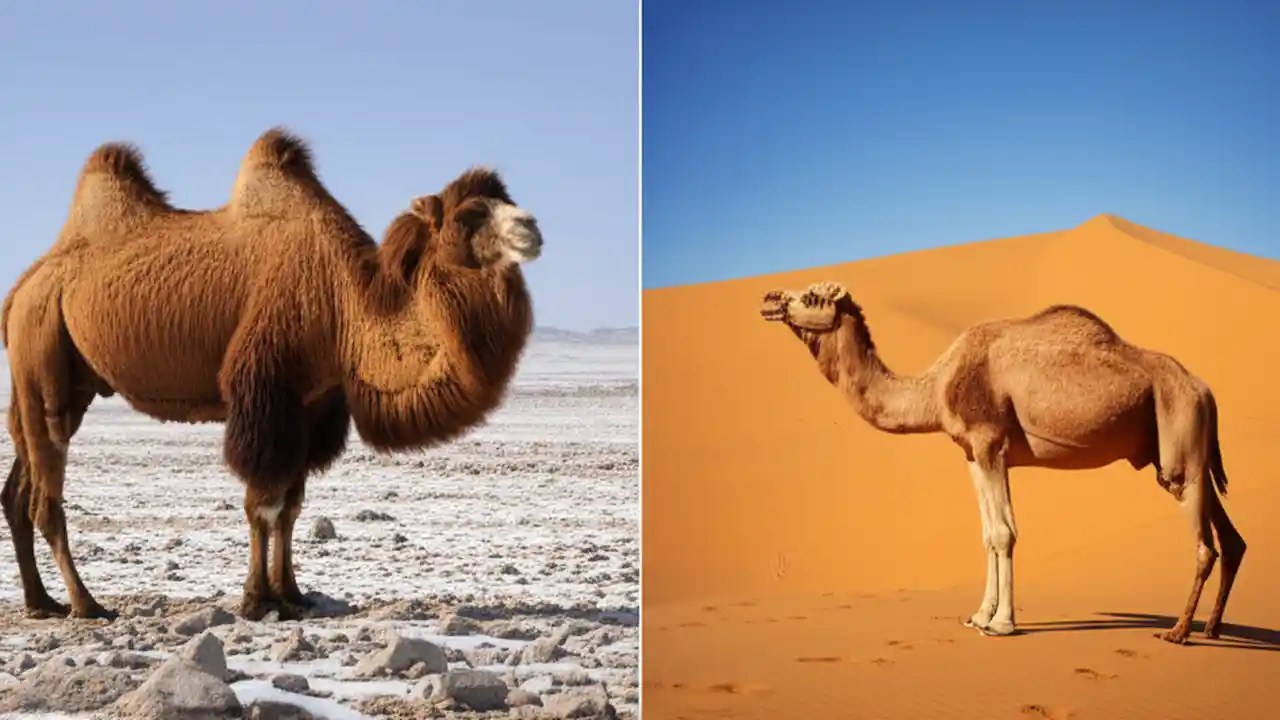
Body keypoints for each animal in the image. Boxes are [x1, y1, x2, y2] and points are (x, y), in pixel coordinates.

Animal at [2, 127, 539, 621]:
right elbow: (261, 504)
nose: (531, 228)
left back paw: (40, 602)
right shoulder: (265, 393)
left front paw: (293, 595)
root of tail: (22, 288)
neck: (342, 301)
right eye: (469, 214)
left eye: (509, 202)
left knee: (17, 491)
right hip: (40, 351)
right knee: (45, 497)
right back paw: (85, 603)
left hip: (69, 381)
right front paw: (257, 599)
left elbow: (292, 506)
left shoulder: (310, 405)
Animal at [760, 281, 1244, 644]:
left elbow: (1004, 533)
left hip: (1180, 440)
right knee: (1231, 539)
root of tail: (1206, 390)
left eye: (812, 296)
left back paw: (1178, 632)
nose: (769, 298)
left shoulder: (989, 441)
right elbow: (988, 535)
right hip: (1189, 454)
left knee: (1204, 542)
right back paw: (1211, 628)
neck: (936, 386)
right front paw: (978, 615)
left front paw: (1002, 623)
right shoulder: (973, 453)